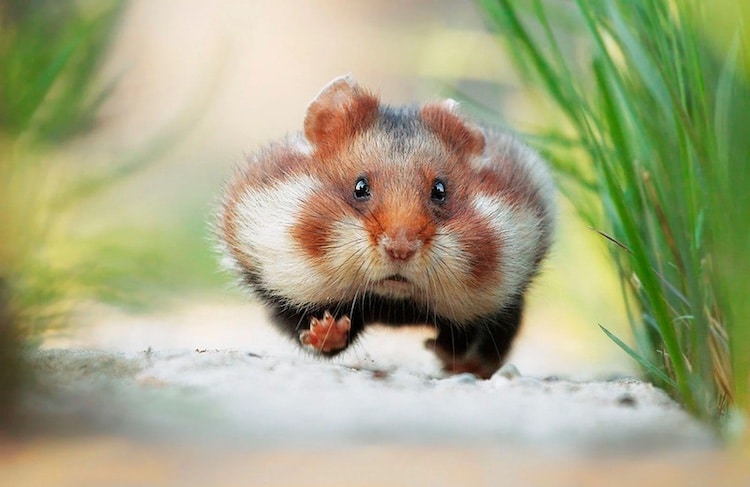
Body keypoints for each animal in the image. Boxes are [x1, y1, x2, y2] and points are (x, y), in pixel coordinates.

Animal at [217, 76, 555, 379]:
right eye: (360, 187)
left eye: (440, 190)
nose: (400, 249)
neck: (393, 302)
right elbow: (314, 336)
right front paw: (326, 328)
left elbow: (472, 336)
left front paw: (437, 348)